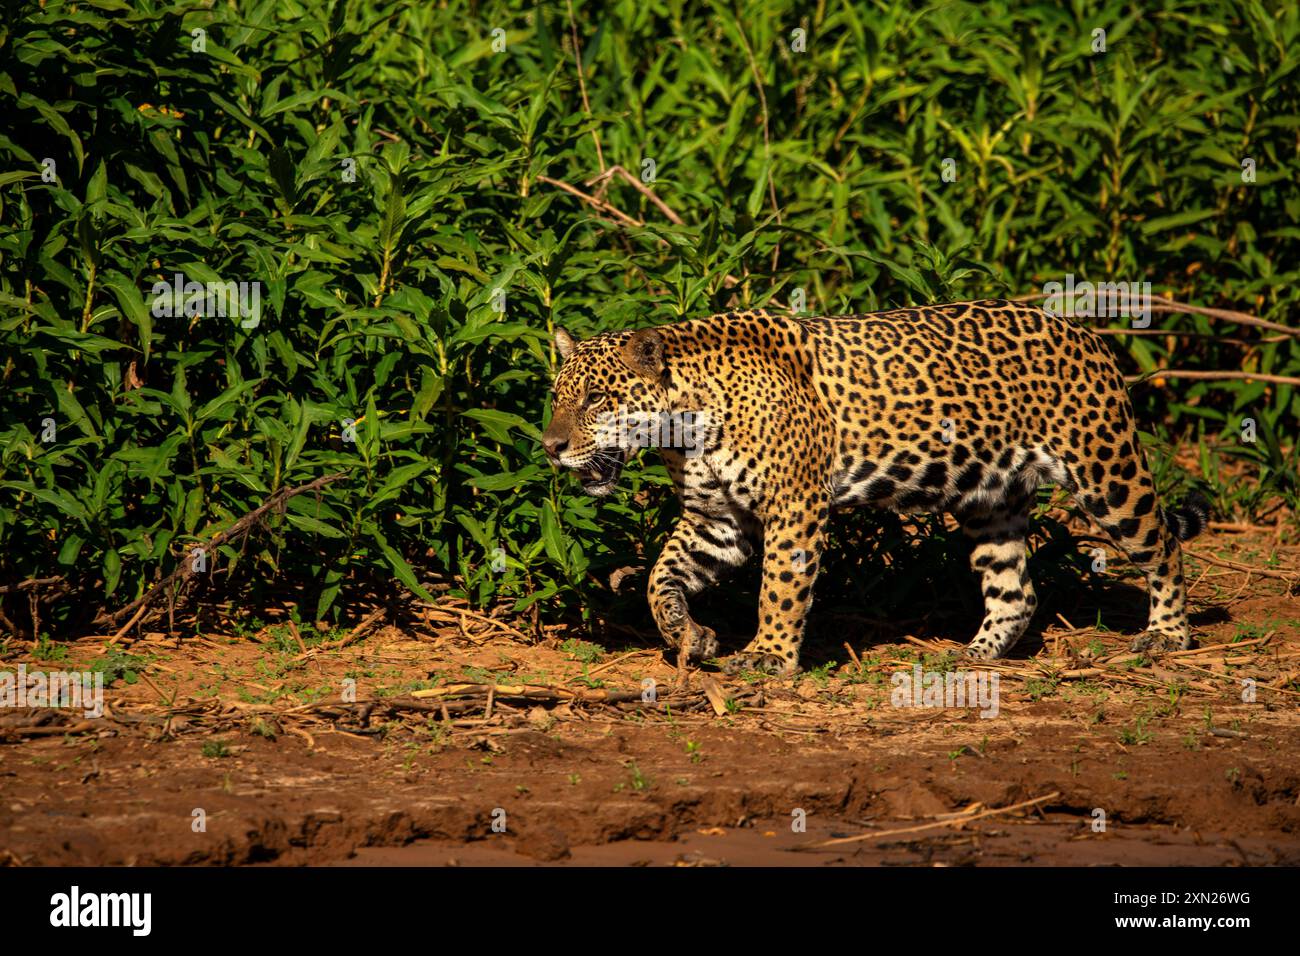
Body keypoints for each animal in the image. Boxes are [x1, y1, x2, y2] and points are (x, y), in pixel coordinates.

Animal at [541, 299, 1210, 676]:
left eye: (596, 398)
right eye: (556, 396)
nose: (549, 446)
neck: (687, 424)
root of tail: (1083, 332)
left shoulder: (795, 509)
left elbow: (780, 590)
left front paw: (770, 656)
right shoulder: (717, 520)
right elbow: (660, 577)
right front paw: (689, 634)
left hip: (1107, 471)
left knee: (1164, 546)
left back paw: (1166, 638)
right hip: (989, 499)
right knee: (1015, 589)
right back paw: (975, 654)